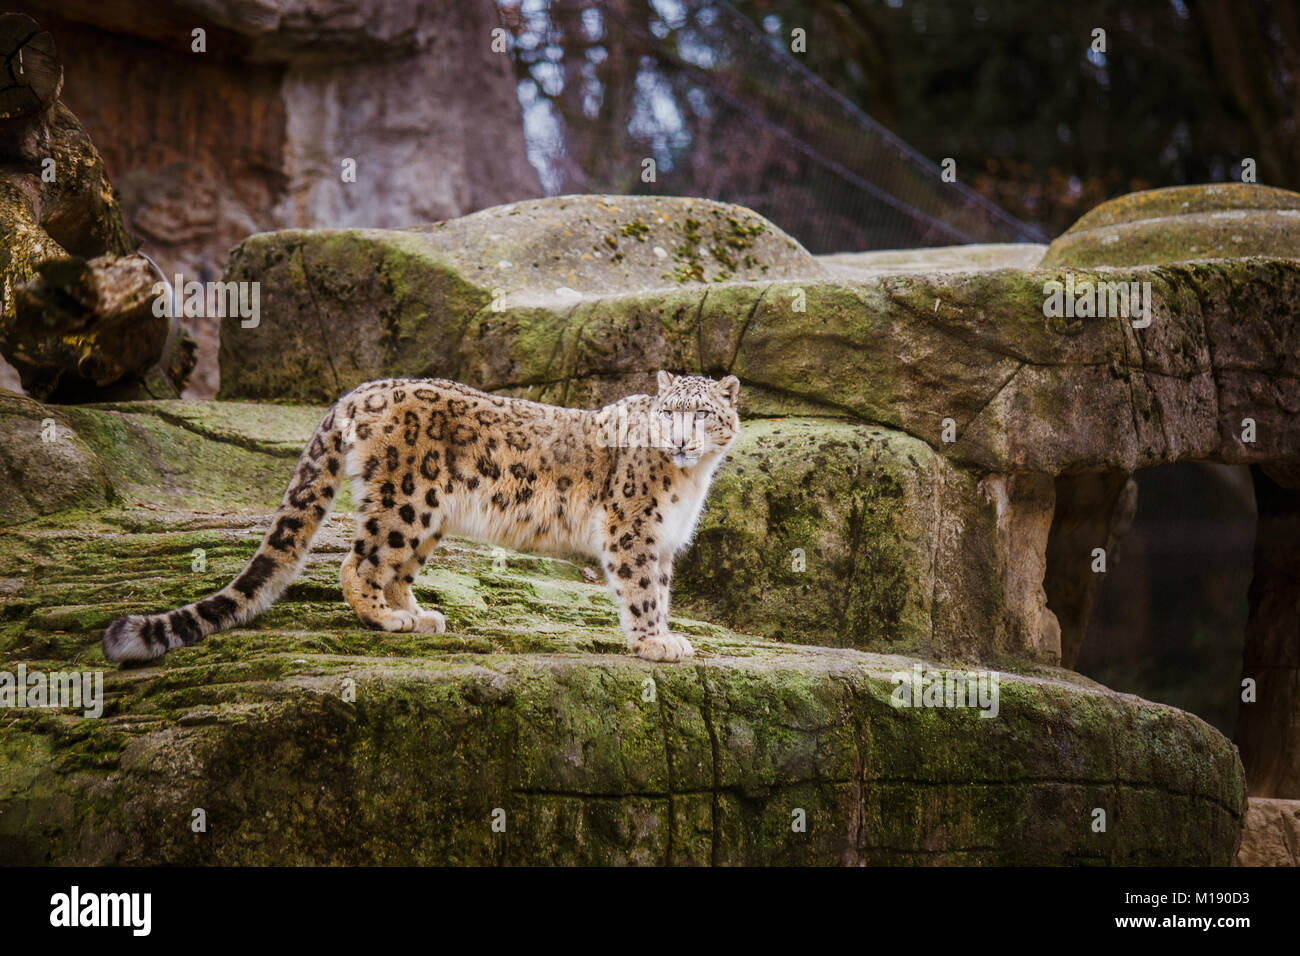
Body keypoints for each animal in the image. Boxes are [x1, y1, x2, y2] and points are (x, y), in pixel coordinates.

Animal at [102, 371, 741, 664]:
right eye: (669, 413)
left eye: (703, 414)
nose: (680, 440)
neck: (691, 481)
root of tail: (360, 391)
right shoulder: (633, 530)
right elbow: (640, 590)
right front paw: (656, 644)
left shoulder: (664, 541)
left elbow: (659, 588)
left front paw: (665, 635)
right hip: (406, 502)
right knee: (358, 564)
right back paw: (387, 620)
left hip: (427, 516)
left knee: (394, 568)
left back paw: (418, 615)